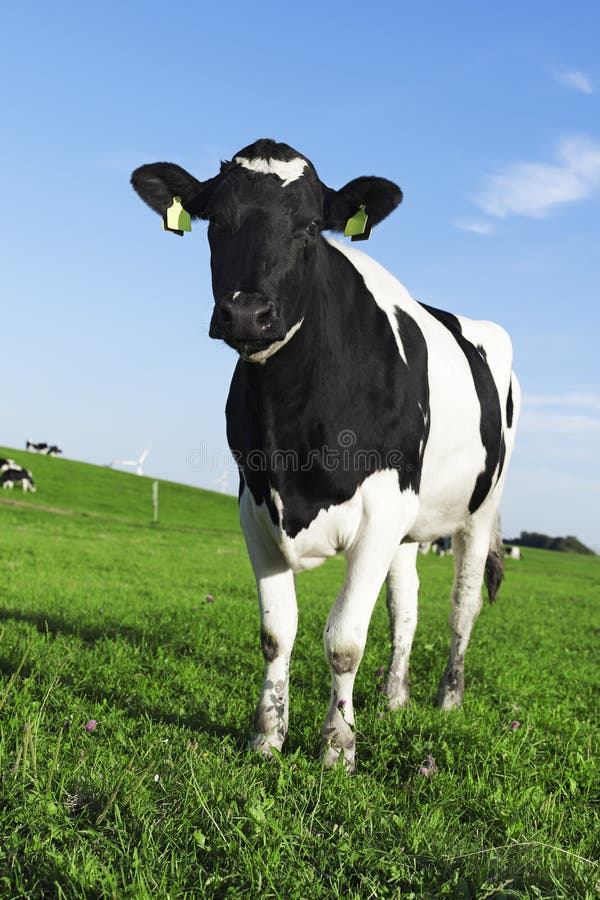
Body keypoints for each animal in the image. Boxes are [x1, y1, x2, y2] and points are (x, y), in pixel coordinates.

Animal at [132, 138, 520, 771]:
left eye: (312, 226)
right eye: (215, 220)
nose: (247, 313)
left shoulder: (383, 505)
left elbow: (343, 640)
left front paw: (337, 747)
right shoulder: (254, 504)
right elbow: (277, 632)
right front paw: (267, 737)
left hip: (479, 510)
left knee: (462, 606)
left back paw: (446, 701)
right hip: (409, 524)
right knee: (406, 606)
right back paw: (393, 699)